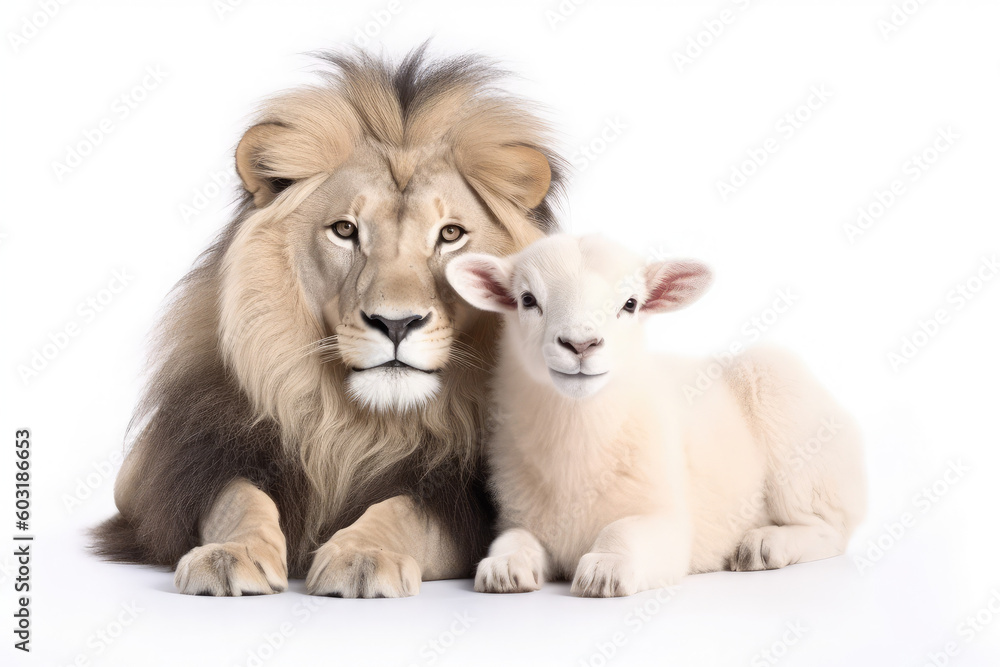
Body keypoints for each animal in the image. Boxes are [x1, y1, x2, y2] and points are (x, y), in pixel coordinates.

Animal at [92, 46, 564, 597]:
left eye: (450, 235)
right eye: (345, 230)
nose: (396, 324)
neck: (362, 427)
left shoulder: (460, 500)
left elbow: (403, 512)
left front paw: (362, 555)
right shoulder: (181, 468)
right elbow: (238, 497)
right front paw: (231, 555)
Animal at [445, 234, 867, 597]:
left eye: (630, 304)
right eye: (527, 299)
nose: (581, 344)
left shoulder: (666, 517)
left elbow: (625, 532)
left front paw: (606, 567)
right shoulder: (519, 516)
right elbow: (512, 539)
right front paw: (504, 567)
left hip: (794, 426)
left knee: (830, 526)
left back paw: (765, 544)